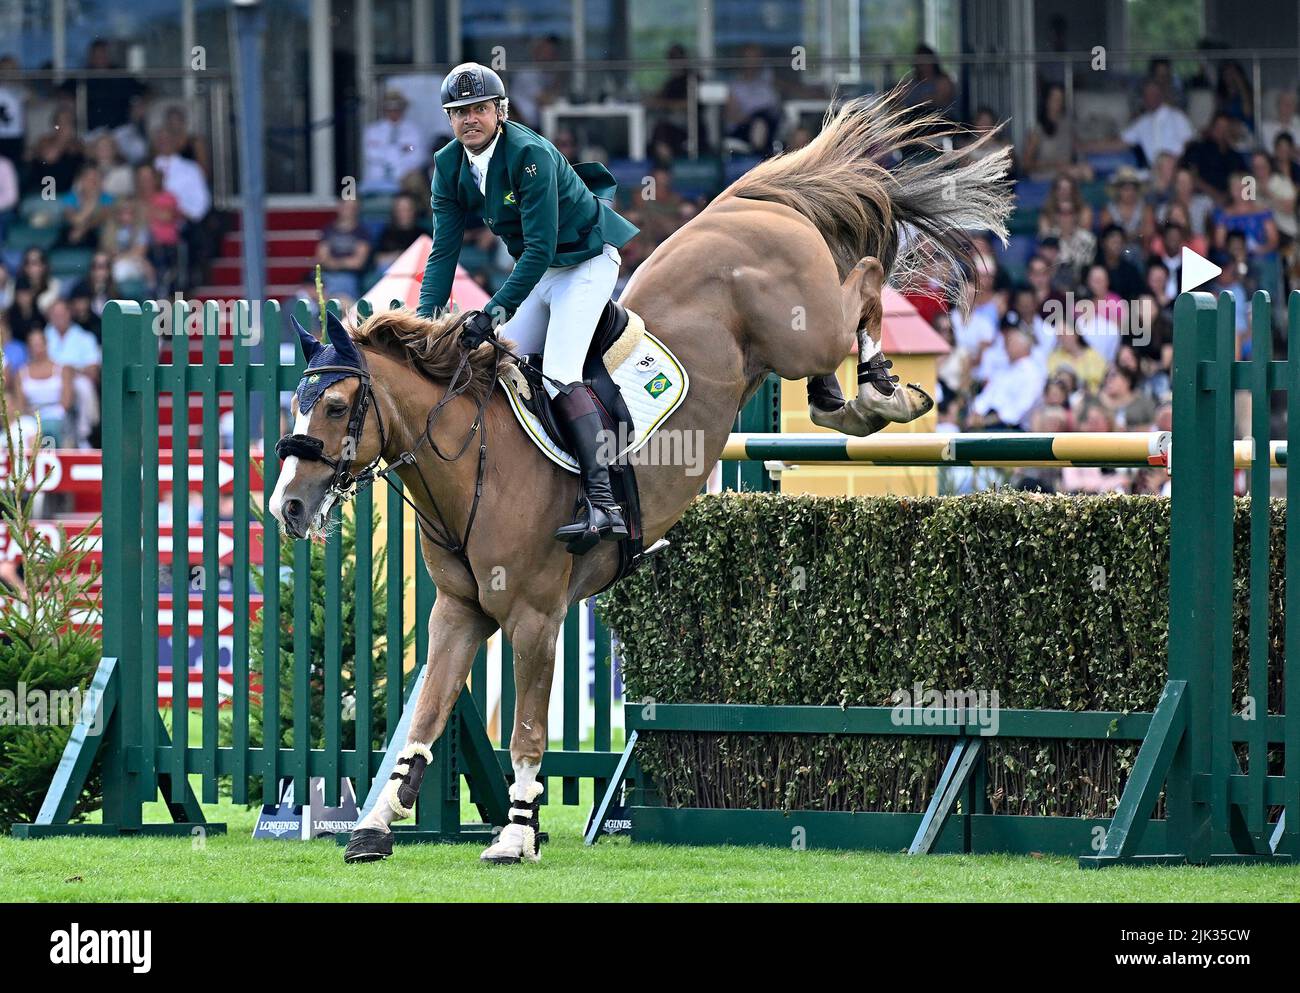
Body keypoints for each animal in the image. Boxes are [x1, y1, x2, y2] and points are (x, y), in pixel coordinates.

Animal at [267, 93, 1013, 864]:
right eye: (295, 402)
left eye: (333, 405)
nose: (286, 506)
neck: (473, 462)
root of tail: (743, 201)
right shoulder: (458, 611)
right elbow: (426, 717)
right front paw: (376, 825)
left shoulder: (535, 615)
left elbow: (526, 731)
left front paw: (516, 832)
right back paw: (842, 398)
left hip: (802, 327)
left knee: (863, 277)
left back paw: (881, 388)